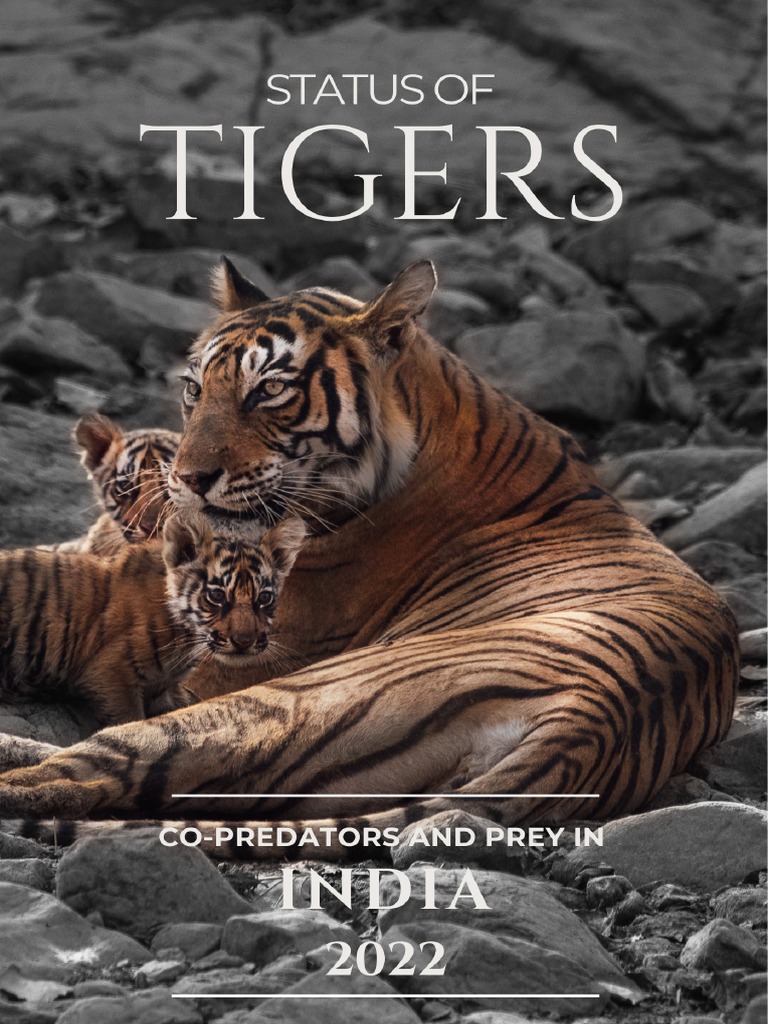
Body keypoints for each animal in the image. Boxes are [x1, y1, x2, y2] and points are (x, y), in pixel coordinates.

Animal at [0, 508, 306, 725]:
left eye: (264, 598)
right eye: (217, 596)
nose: (245, 641)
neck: (186, 635)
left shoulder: (163, 688)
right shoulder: (109, 675)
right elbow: (130, 721)